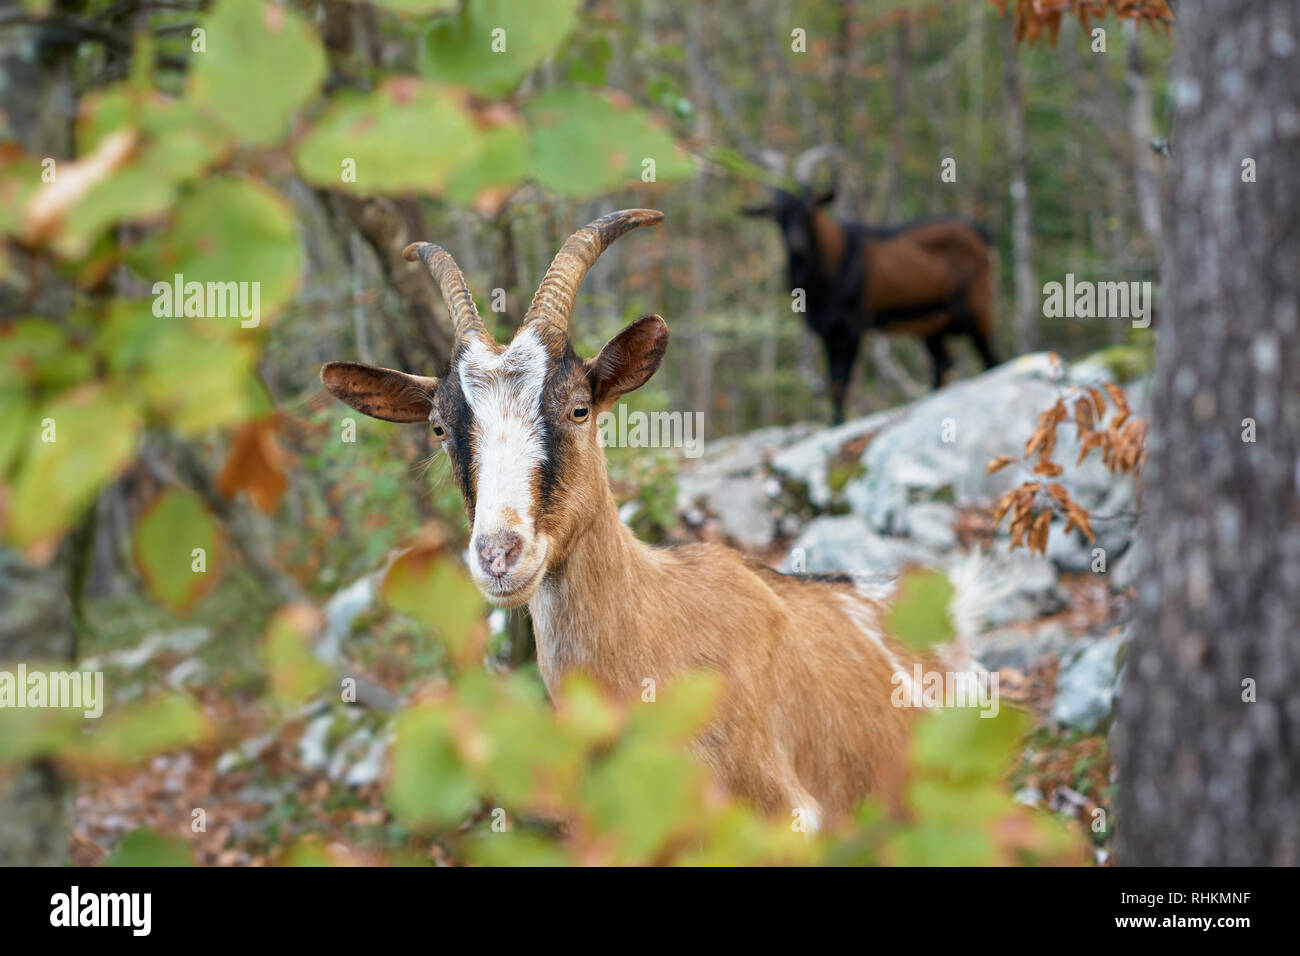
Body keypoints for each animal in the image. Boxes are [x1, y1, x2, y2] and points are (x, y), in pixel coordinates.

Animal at [744, 147, 1000, 424]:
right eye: (778, 212)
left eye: (810, 208)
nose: (797, 244)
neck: (834, 261)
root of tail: (979, 235)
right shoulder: (826, 331)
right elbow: (833, 383)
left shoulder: (852, 328)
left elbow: (841, 382)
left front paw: (838, 422)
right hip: (932, 327)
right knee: (942, 367)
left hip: (976, 307)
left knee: (991, 360)